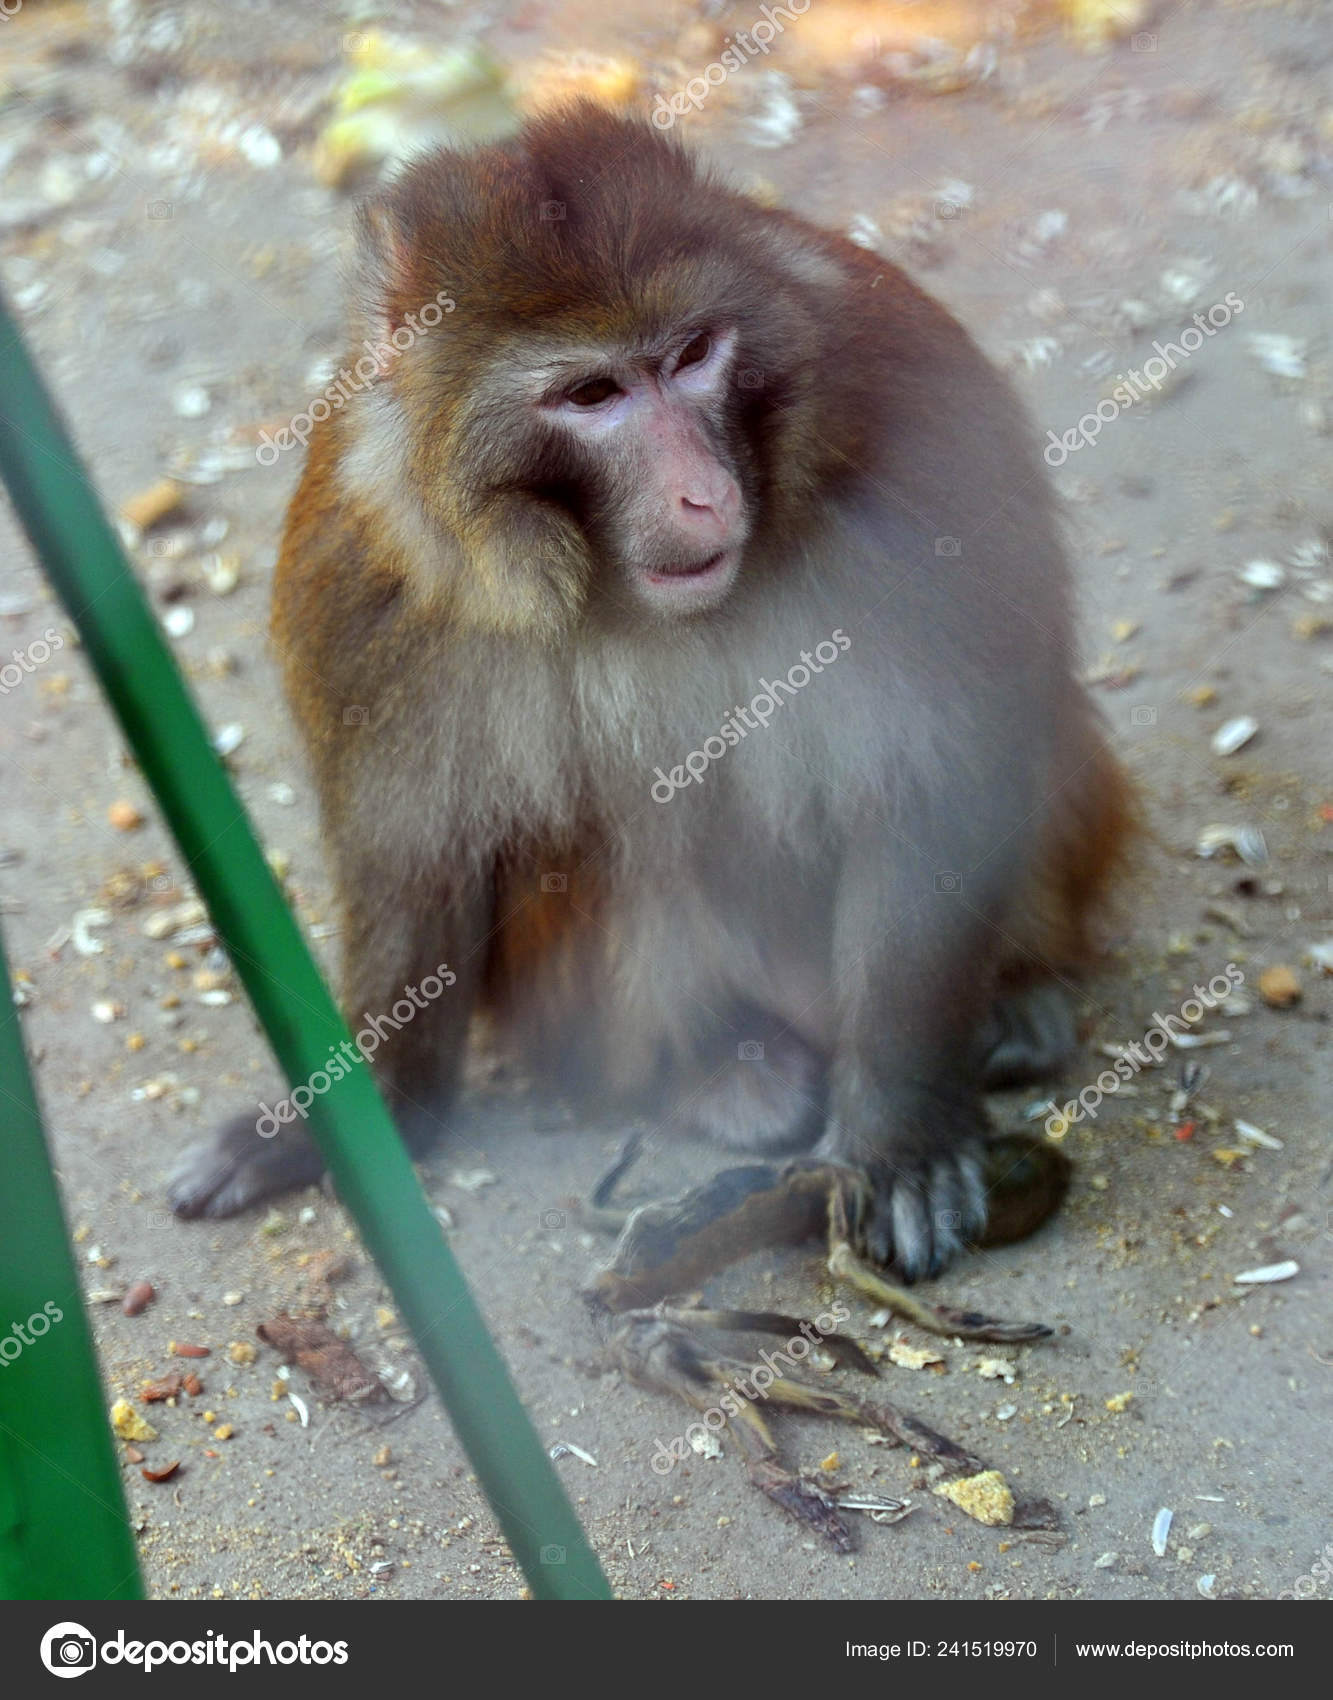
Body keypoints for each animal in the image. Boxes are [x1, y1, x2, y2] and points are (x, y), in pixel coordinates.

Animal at [168, 102, 1134, 1281]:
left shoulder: (923, 457)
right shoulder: (362, 576)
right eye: (593, 394)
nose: (704, 492)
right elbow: (411, 850)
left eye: (692, 354)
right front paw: (354, 1117)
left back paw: (1016, 1007)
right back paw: (718, 1071)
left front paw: (900, 1136)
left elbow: (934, 779)